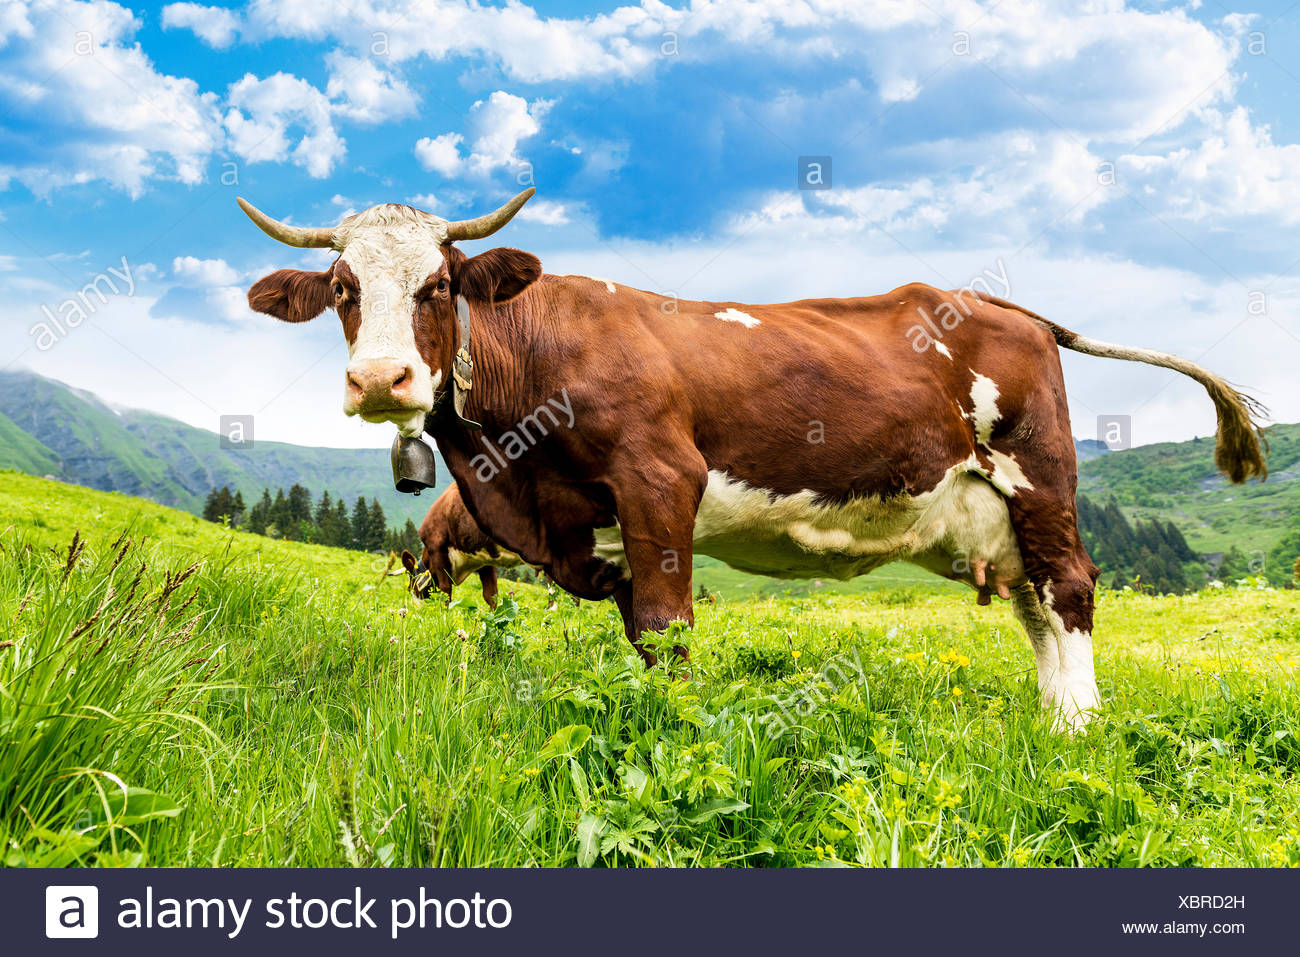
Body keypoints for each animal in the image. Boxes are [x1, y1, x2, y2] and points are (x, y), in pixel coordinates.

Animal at [239, 189, 1267, 731]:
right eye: (341, 287)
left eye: (439, 284)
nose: (380, 378)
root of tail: (1010, 307)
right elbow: (624, 612)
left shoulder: (661, 477)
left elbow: (665, 624)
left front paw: (676, 730)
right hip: (994, 510)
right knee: (1035, 605)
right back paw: (1053, 721)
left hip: (1037, 474)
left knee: (1071, 588)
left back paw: (1079, 725)